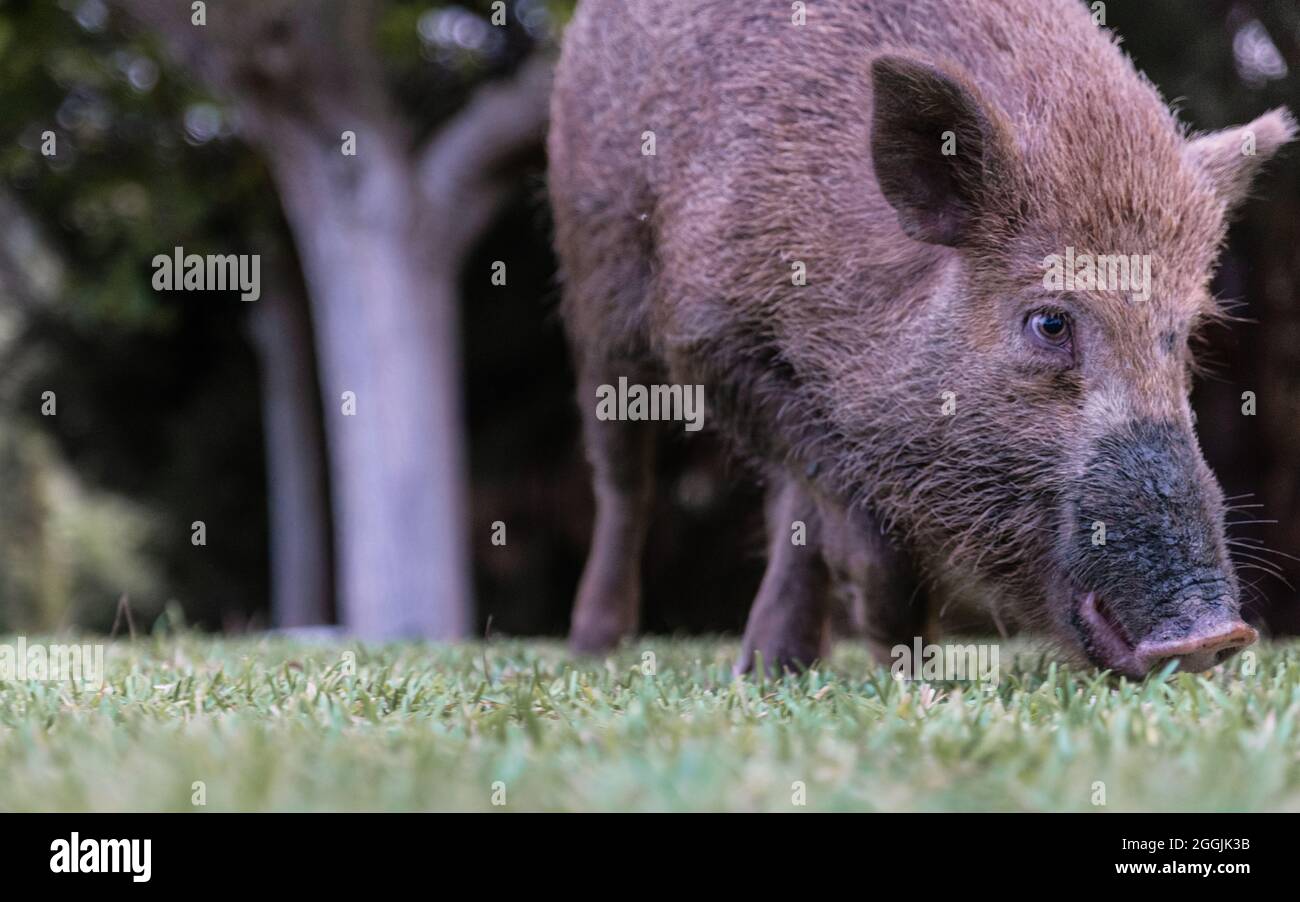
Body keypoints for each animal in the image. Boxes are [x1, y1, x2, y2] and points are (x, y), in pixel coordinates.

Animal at [547, 0, 1295, 677]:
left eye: (1186, 335)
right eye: (1050, 322)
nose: (1214, 635)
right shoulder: (711, 332)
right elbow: (837, 498)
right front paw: (904, 663)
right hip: (595, 270)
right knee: (623, 472)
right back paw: (597, 649)